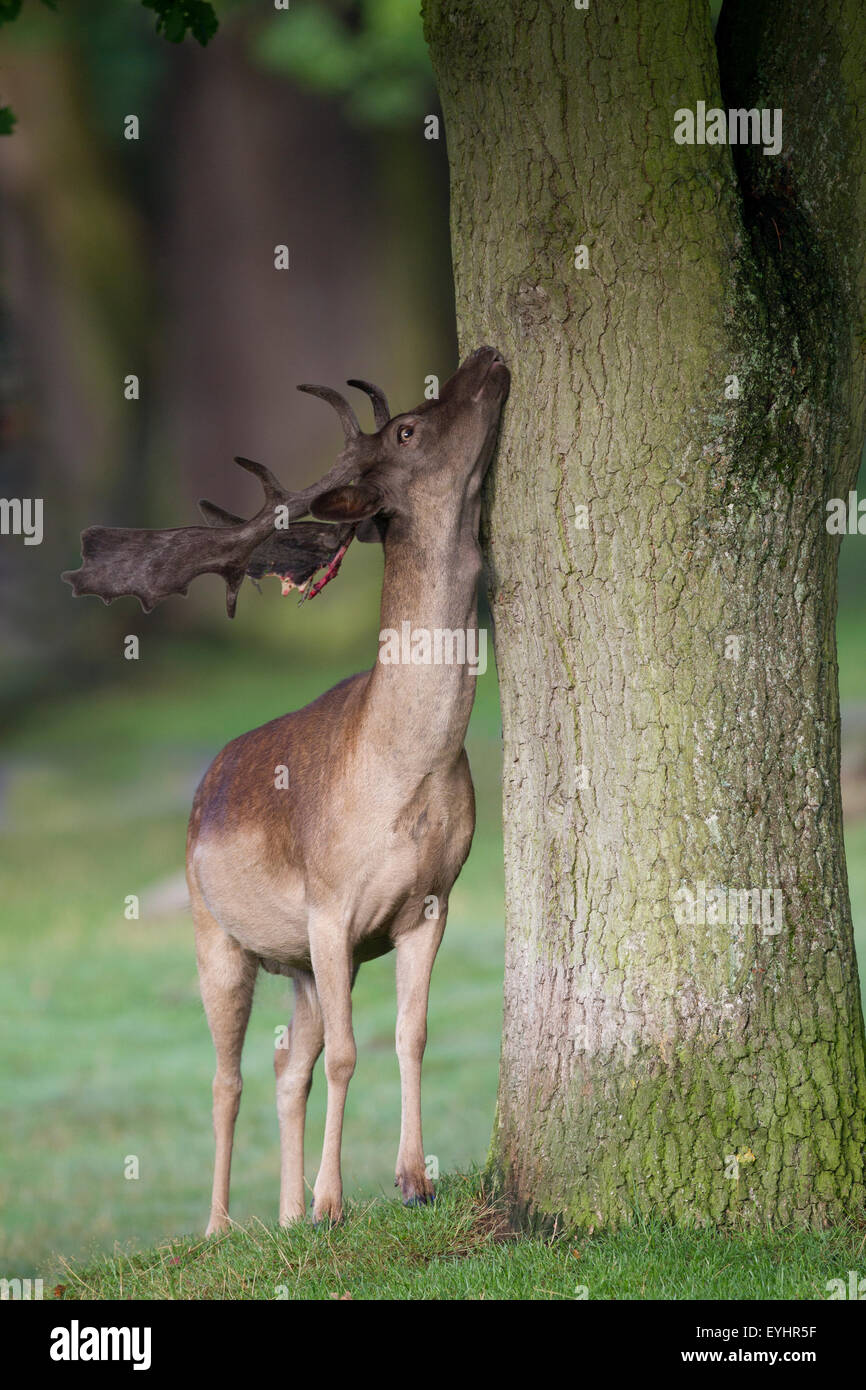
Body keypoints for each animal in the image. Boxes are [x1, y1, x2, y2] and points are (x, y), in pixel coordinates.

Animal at [63, 345, 510, 1231]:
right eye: (409, 429)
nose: (484, 357)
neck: (407, 771)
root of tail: (205, 779)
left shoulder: (430, 903)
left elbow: (409, 1035)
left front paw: (411, 1180)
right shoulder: (332, 905)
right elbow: (347, 1054)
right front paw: (337, 1201)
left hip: (295, 964)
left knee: (283, 1066)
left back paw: (287, 1215)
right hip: (215, 933)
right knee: (226, 1076)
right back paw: (221, 1226)